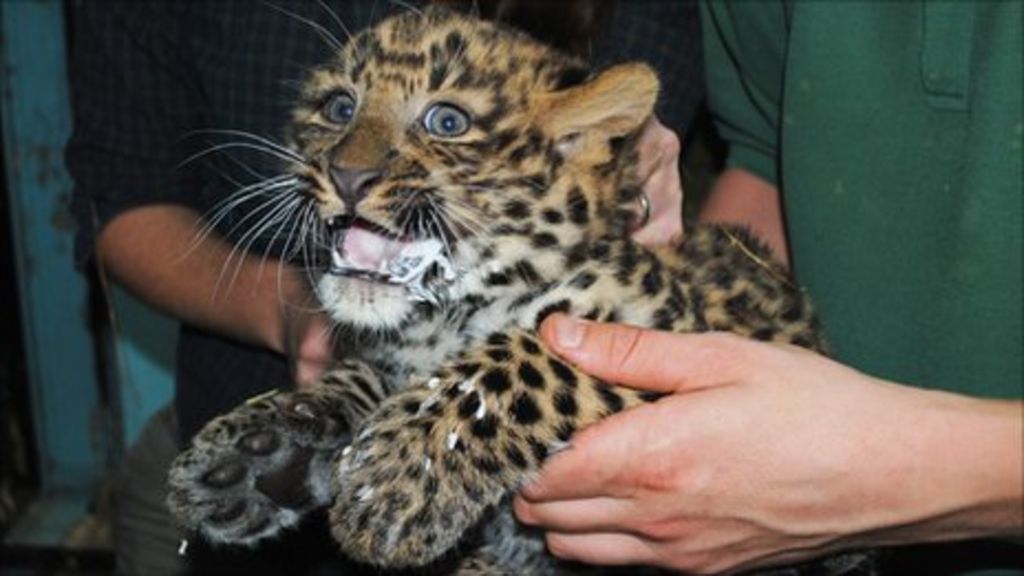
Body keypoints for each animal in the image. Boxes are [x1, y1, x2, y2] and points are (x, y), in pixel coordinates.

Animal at [167, 7, 876, 575]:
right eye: (340, 108)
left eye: (446, 121)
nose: (347, 174)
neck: (446, 321)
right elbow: (362, 375)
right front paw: (252, 453)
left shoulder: (670, 335)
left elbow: (525, 360)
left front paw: (400, 472)